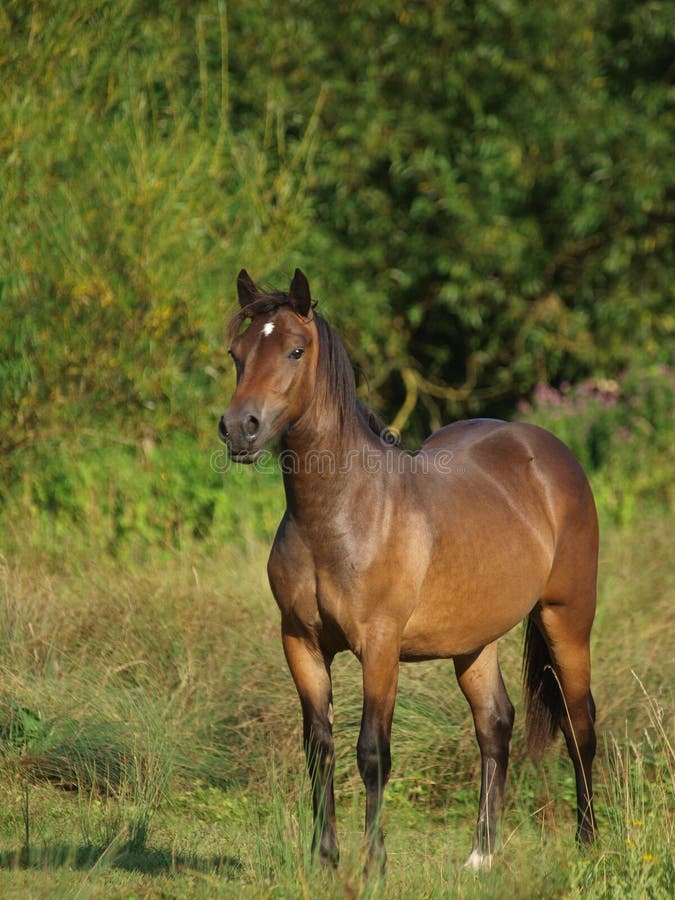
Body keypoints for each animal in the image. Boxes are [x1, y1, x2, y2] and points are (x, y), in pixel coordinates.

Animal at [219, 269, 598, 871]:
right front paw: (324, 858)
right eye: (237, 353)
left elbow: (372, 752)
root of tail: (549, 452)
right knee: (495, 724)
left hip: (568, 618)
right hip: (475, 640)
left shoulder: (379, 646)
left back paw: (587, 844)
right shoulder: (300, 642)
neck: (340, 514)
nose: (239, 429)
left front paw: (373, 862)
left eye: (296, 350)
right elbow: (319, 747)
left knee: (578, 723)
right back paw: (481, 856)